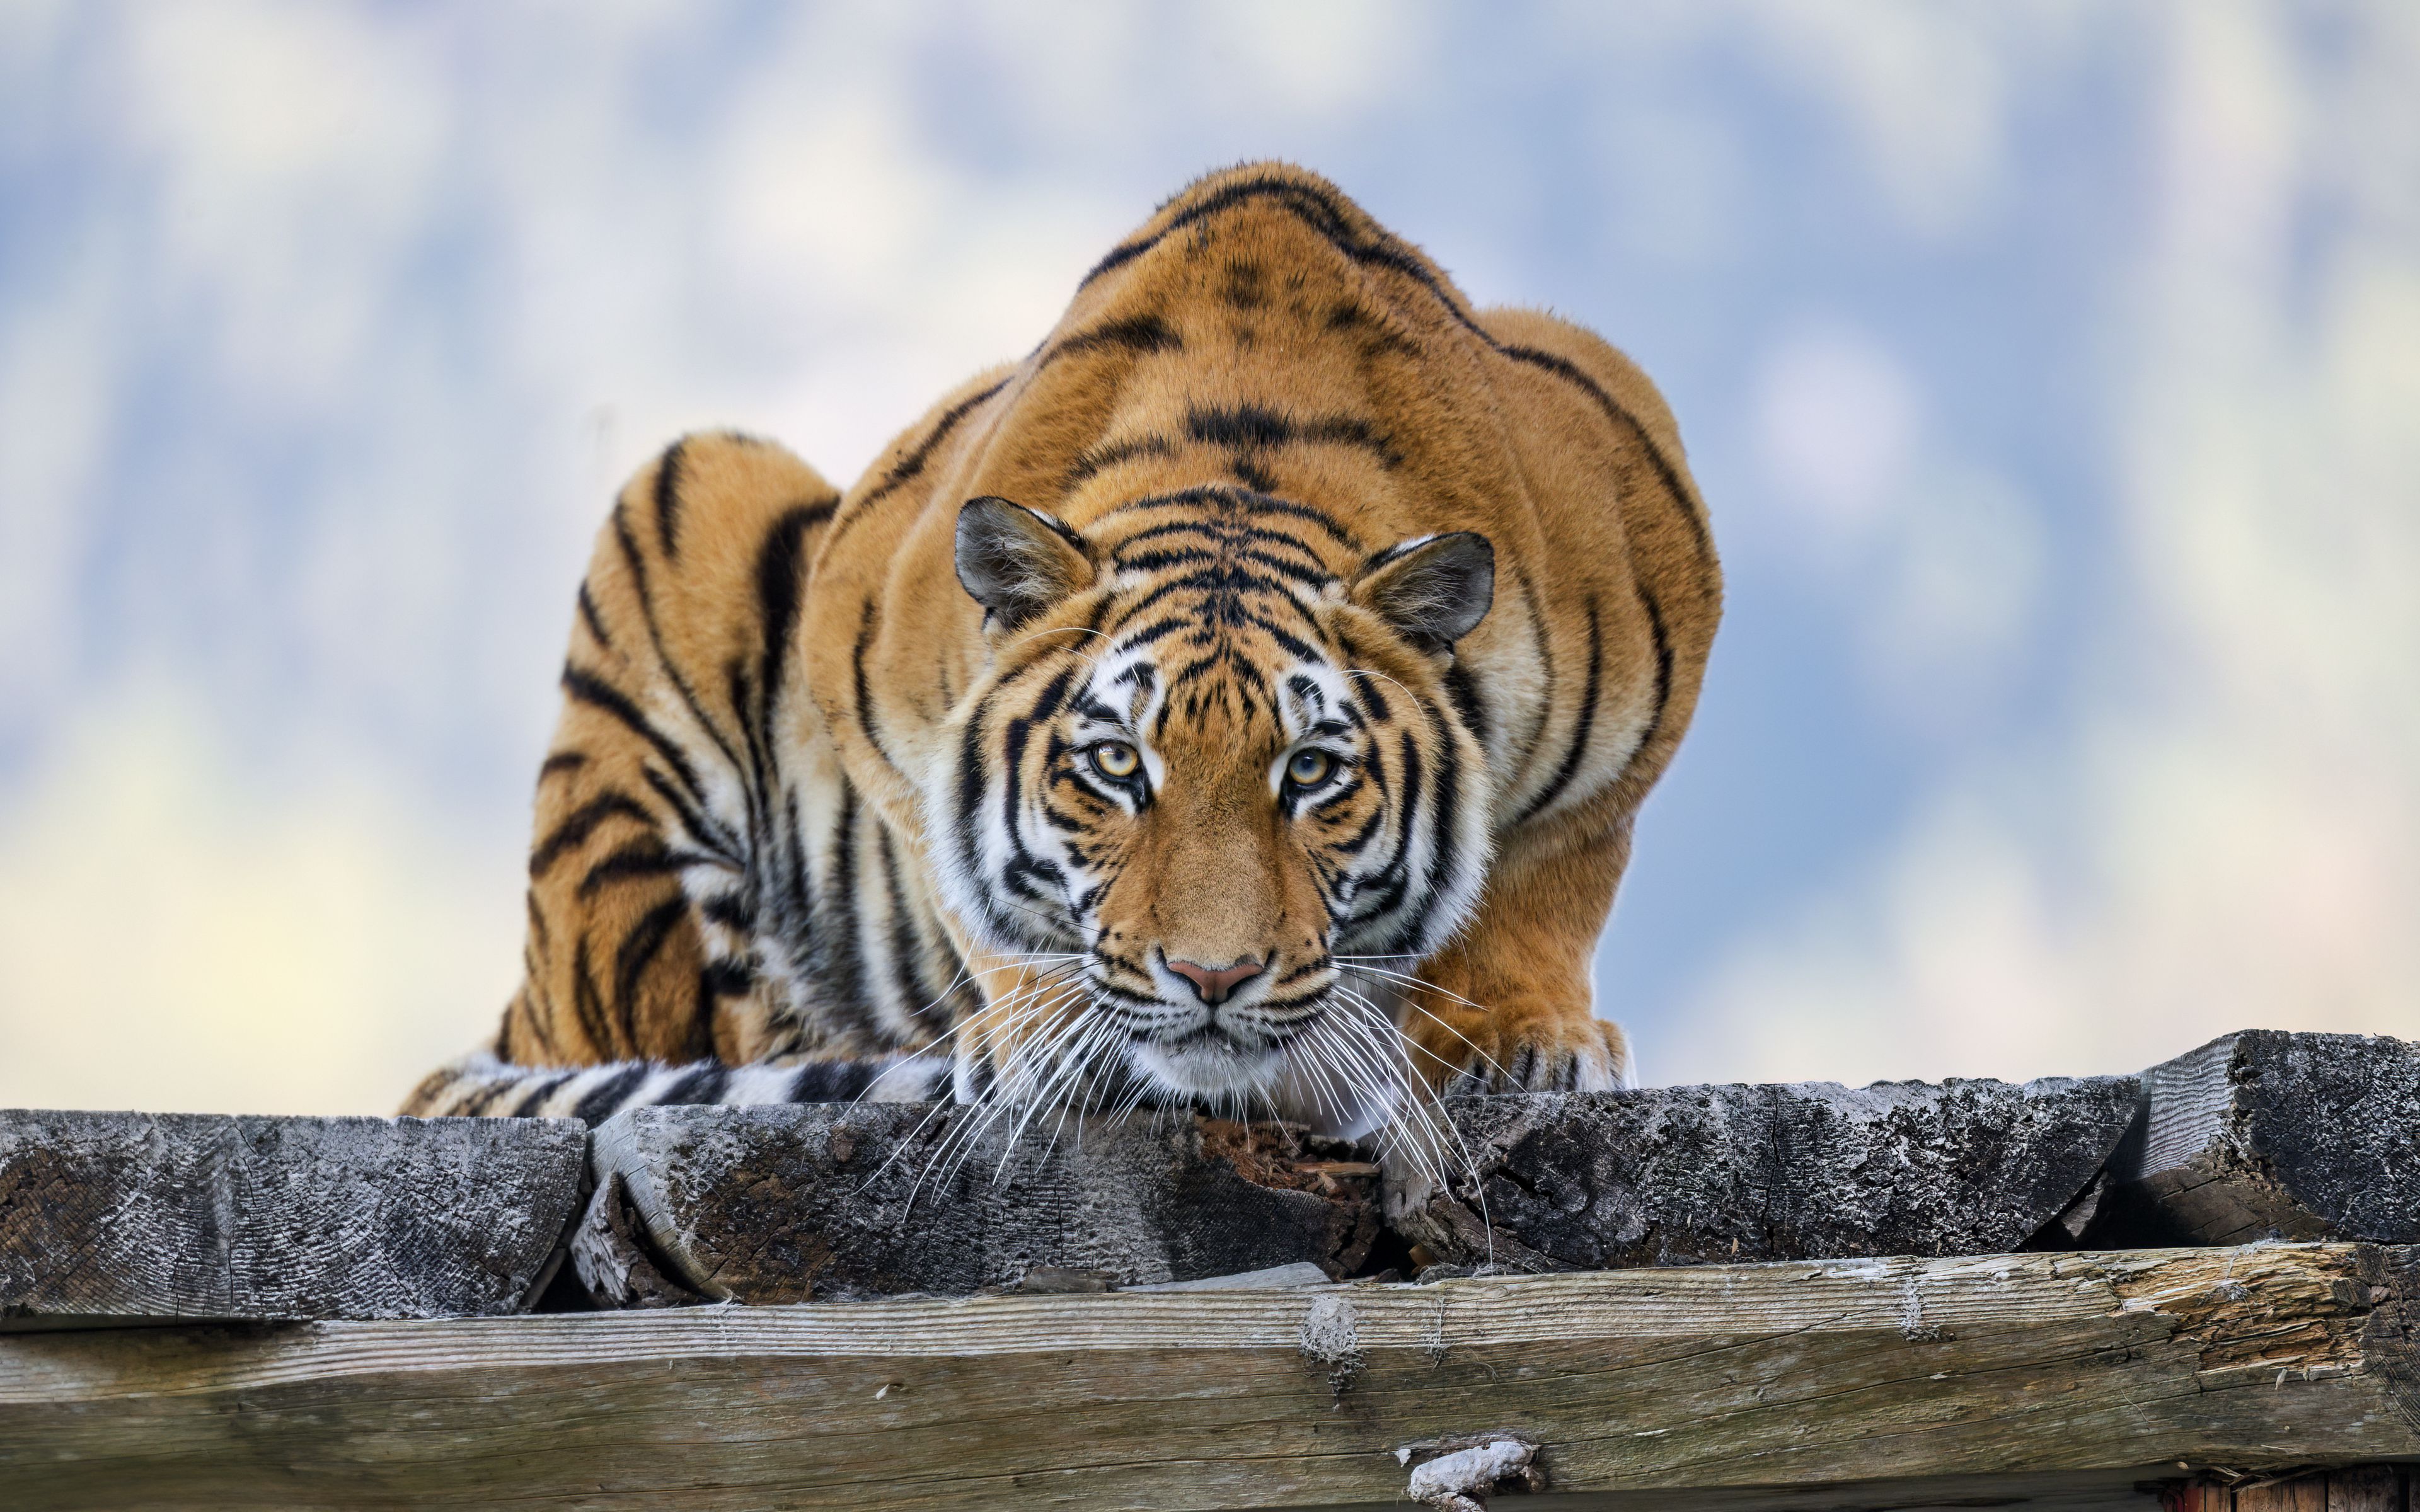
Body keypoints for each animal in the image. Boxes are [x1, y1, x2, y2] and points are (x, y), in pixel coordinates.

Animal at [405, 161, 1721, 1164]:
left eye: (1311, 774)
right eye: (1114, 767)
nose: (1211, 978)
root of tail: (526, 1002)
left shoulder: (1641, 661)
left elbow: (1552, 869)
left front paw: (1520, 1037)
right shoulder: (866, 653)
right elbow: (967, 877)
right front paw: (1040, 1034)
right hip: (691, 492)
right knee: (724, 1024)